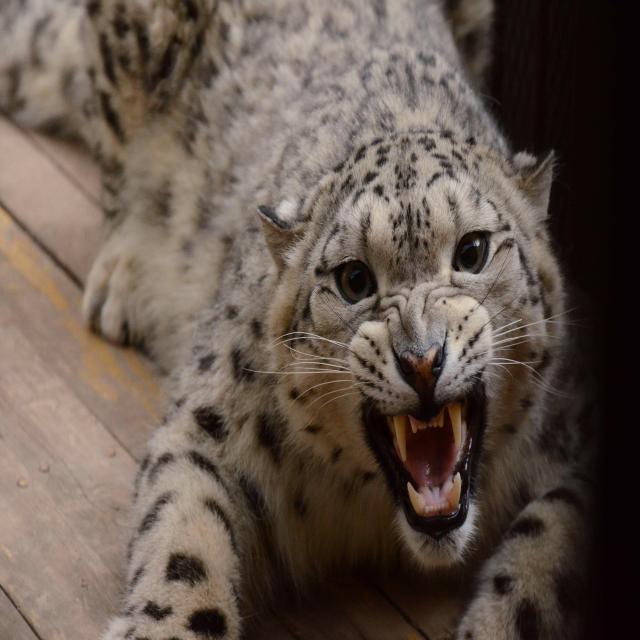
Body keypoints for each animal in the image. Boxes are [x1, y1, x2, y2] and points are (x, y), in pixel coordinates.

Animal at [0, 1, 597, 639]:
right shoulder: (212, 421)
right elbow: (183, 537)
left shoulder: (576, 435)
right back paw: (124, 274)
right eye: (354, 280)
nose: (422, 359)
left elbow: (541, 558)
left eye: (473, 251)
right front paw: (168, 624)